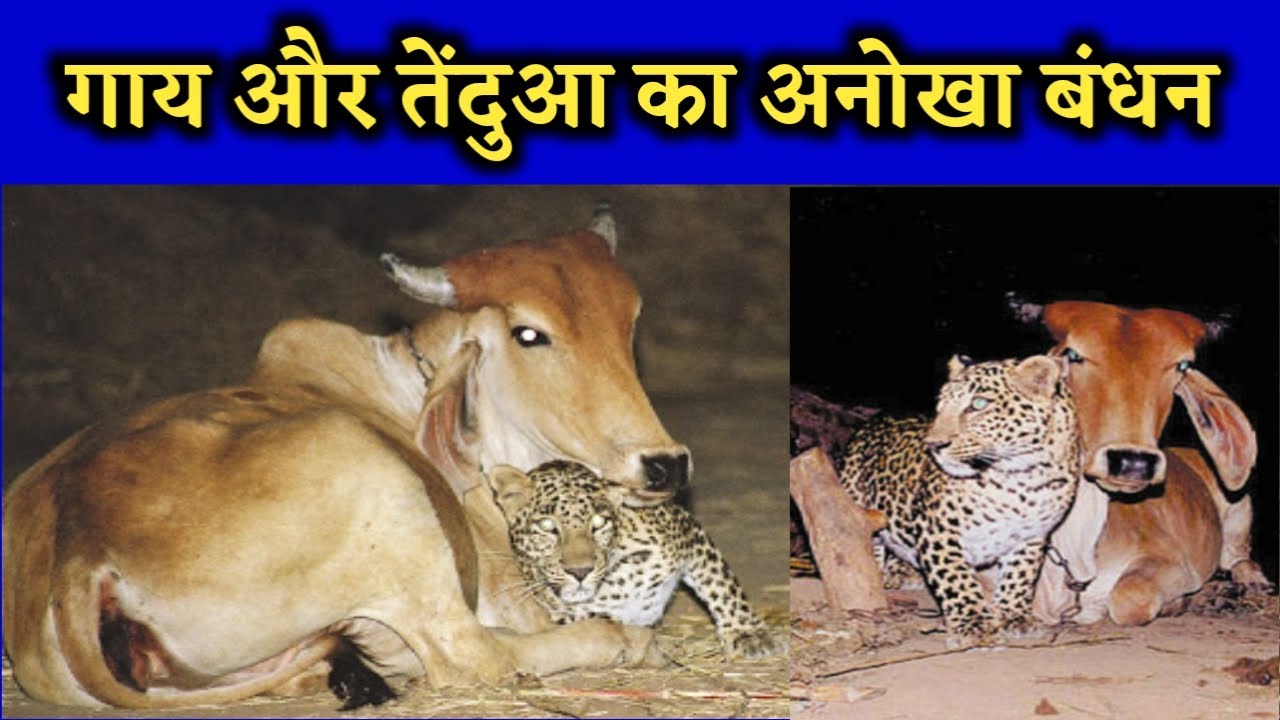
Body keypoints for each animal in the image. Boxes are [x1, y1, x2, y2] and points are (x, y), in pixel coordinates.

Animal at [2, 207, 692, 709]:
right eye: (529, 334)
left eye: (628, 320)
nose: (665, 463)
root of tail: (79, 555)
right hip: (387, 497)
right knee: (472, 656)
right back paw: (629, 643)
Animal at [487, 460, 781, 659]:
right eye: (547, 526)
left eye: (599, 522)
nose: (580, 572)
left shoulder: (689, 532)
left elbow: (723, 586)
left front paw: (750, 634)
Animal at [838, 354, 1081, 647]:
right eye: (940, 406)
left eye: (978, 404)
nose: (933, 445)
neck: (1024, 478)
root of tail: (877, 418)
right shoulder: (939, 530)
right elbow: (956, 577)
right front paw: (973, 623)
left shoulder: (1032, 535)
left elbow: (1020, 576)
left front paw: (1012, 616)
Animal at [1006, 297, 1275, 626]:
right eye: (1073, 354)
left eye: (1182, 365)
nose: (1132, 462)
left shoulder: (1170, 562)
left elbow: (1128, 598)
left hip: (1239, 513)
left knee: (1241, 561)